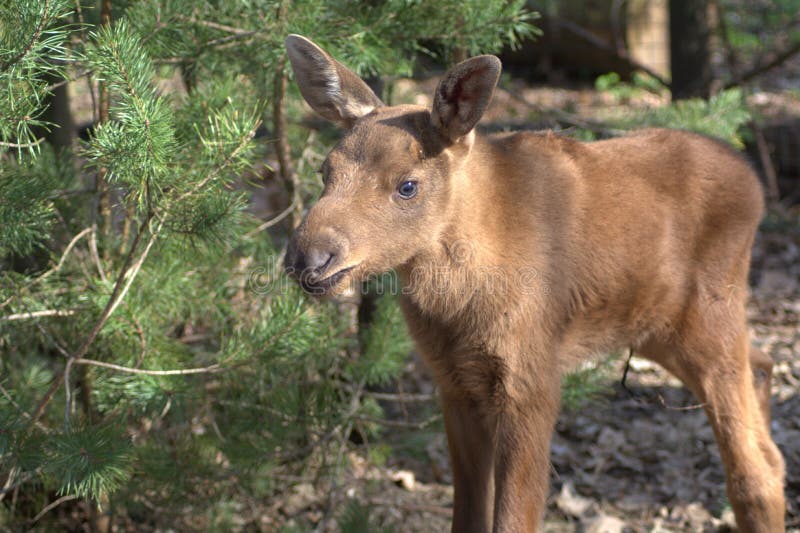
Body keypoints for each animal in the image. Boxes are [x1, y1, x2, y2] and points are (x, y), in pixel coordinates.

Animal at [283, 34, 785, 532]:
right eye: (325, 171)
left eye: (407, 185)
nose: (307, 257)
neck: (458, 301)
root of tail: (755, 184)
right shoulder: (454, 384)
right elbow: (468, 515)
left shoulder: (531, 382)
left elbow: (512, 519)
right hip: (661, 330)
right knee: (764, 382)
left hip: (706, 322)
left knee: (755, 471)